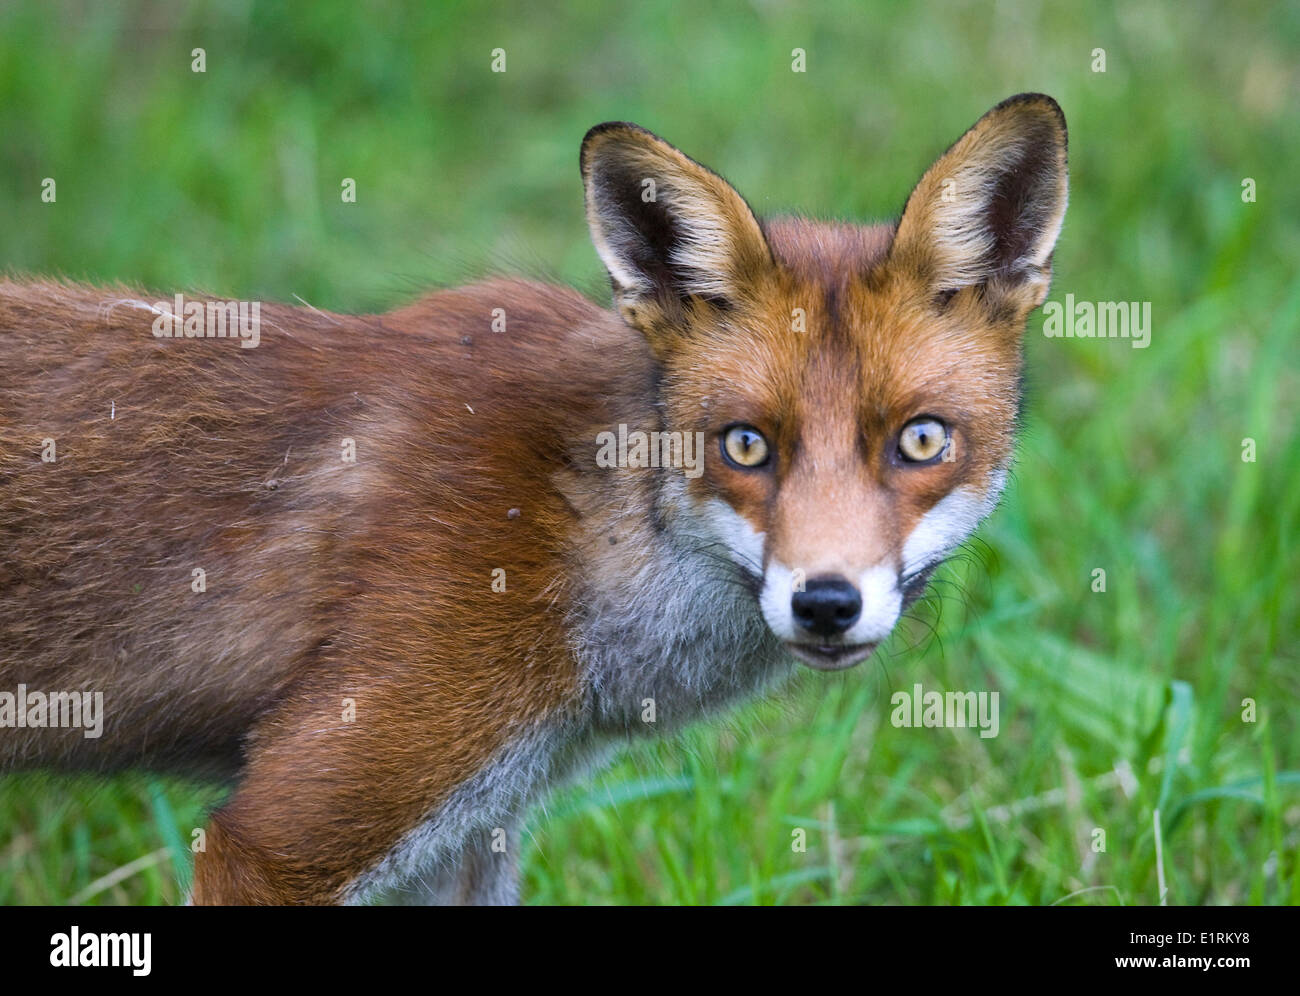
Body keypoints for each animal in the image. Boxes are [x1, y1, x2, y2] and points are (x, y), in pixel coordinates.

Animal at [0, 93, 1067, 905]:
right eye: (746, 445)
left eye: (920, 440)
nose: (827, 602)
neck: (568, 537)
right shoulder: (283, 836)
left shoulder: (467, 836)